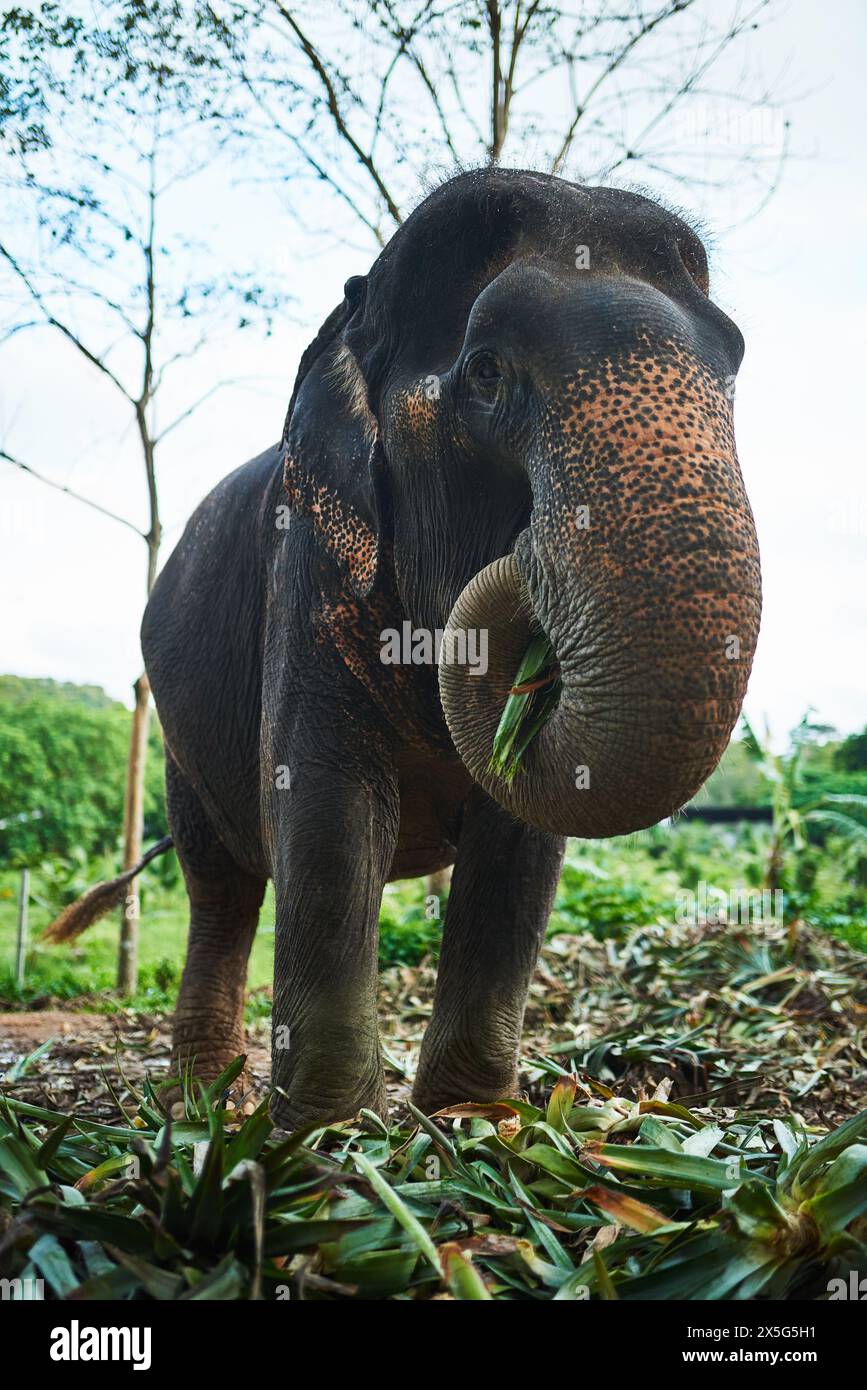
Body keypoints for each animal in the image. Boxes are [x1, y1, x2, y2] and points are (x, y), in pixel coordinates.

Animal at [50, 168, 761, 1128]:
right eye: (487, 371)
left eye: (735, 364)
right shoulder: (307, 567)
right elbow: (327, 807)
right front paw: (329, 1136)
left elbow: (522, 843)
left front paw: (472, 1125)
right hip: (177, 741)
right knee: (220, 886)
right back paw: (202, 1107)